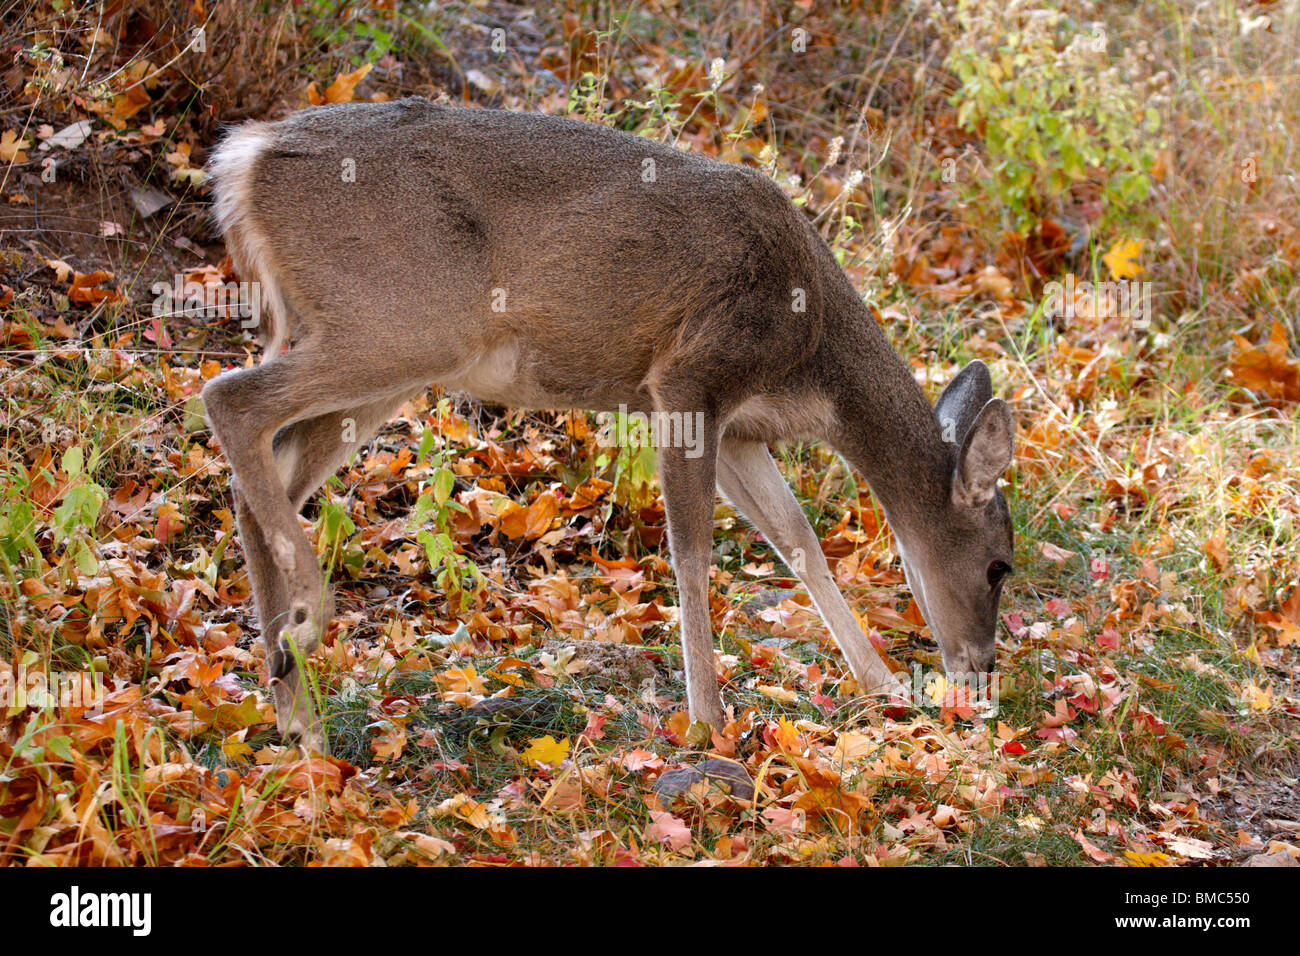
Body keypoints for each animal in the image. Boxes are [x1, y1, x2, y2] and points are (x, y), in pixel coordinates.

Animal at [201, 99, 1015, 751]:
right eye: (999, 566)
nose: (981, 667)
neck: (811, 358)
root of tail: (246, 158)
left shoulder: (739, 430)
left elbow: (799, 542)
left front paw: (880, 683)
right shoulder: (688, 376)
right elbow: (691, 551)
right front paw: (708, 721)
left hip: (365, 348)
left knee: (262, 471)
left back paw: (295, 712)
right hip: (402, 322)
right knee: (228, 398)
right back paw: (306, 623)